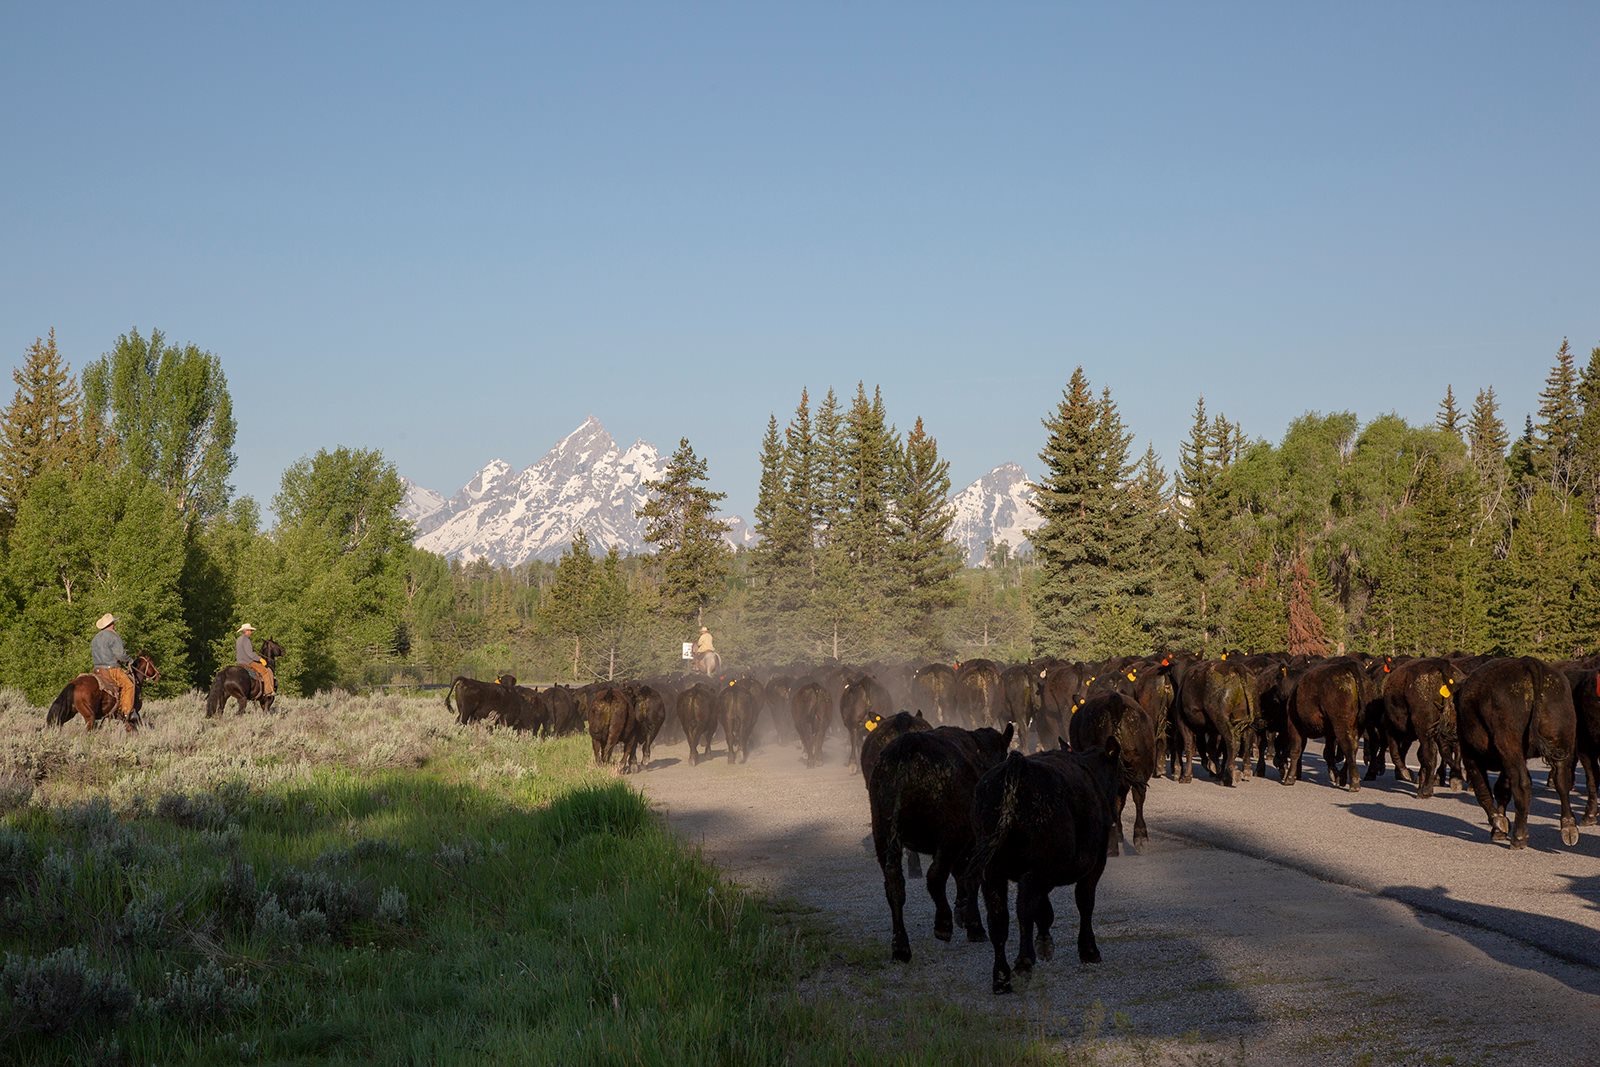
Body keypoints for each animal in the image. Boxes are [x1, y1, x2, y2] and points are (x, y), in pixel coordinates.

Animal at [868, 723, 1014, 963]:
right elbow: (969, 878)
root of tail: (907, 746)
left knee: (894, 884)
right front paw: (973, 925)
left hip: (883, 832)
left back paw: (901, 947)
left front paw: (963, 914)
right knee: (935, 876)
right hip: (950, 835)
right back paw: (943, 924)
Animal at [970, 738, 1123, 994]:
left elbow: (1044, 909)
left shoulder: (1047, 874)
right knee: (1023, 909)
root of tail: (1017, 766)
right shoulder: (1093, 864)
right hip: (1033, 869)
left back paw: (1001, 978)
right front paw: (1089, 951)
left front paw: (1045, 943)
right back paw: (1023, 963)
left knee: (998, 918)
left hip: (992, 873)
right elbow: (1084, 902)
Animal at [1456, 657, 1580, 849]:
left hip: (1510, 746)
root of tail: (1528, 662)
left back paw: (1519, 837)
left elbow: (1483, 790)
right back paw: (1569, 828)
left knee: (1522, 784)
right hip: (1561, 744)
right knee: (1562, 780)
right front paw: (1499, 829)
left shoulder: (1470, 754)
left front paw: (1498, 823)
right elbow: (1502, 789)